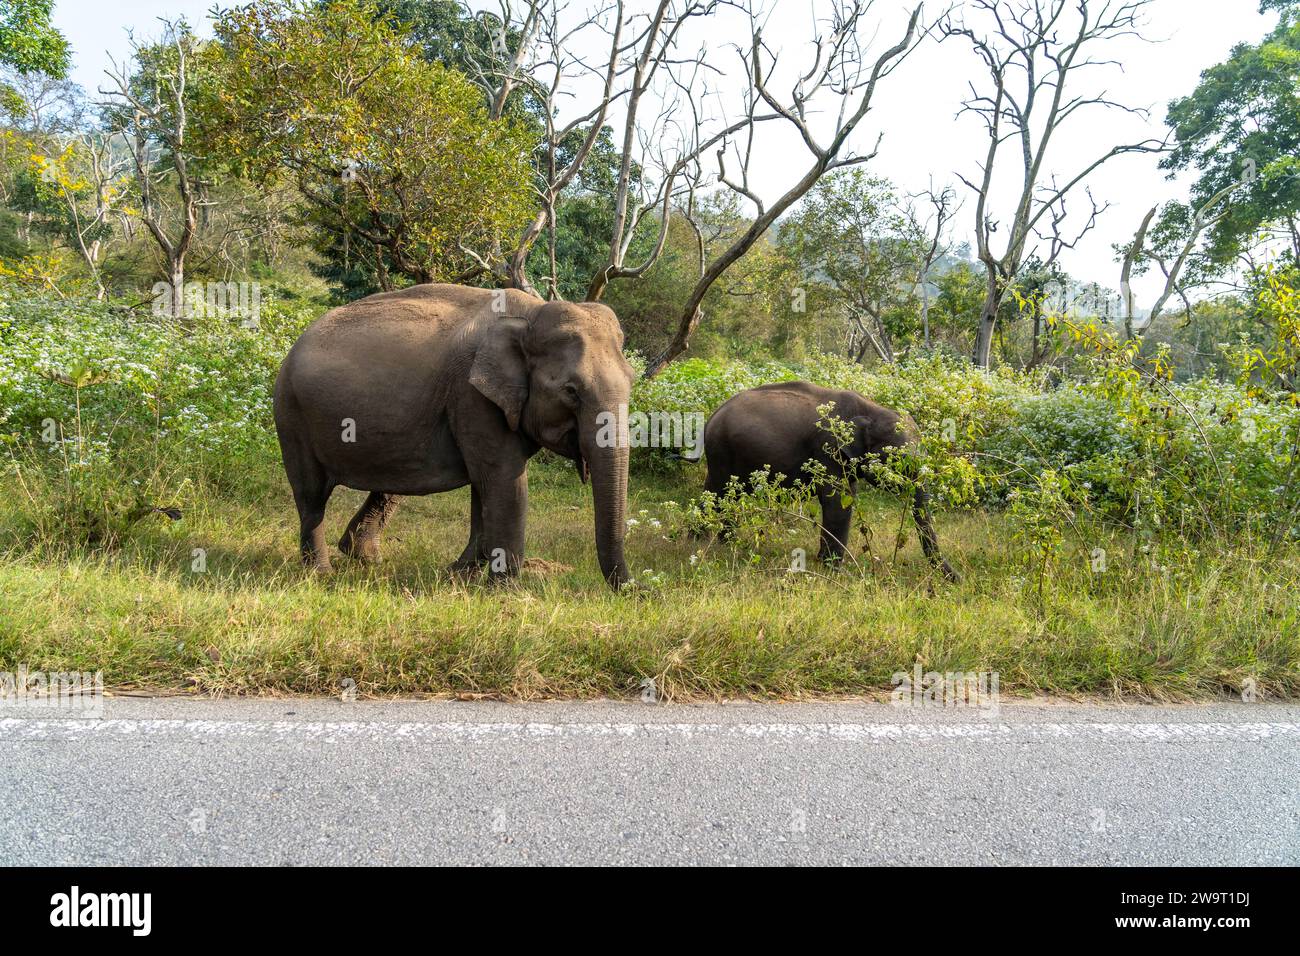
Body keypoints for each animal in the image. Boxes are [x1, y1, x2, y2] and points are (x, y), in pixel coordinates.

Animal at [272, 283, 634, 588]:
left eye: (631, 380)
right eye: (571, 391)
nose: (636, 590)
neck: (531, 314)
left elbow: (484, 489)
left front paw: (457, 578)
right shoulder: (472, 396)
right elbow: (505, 482)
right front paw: (503, 591)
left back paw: (363, 557)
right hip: (291, 413)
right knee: (311, 495)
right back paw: (320, 573)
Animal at [692, 381, 958, 581]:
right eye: (899, 462)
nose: (957, 578)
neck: (871, 408)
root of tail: (712, 415)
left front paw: (825, 563)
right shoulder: (828, 448)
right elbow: (839, 500)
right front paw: (834, 570)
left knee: (714, 493)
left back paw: (709, 541)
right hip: (722, 450)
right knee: (720, 494)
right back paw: (715, 543)